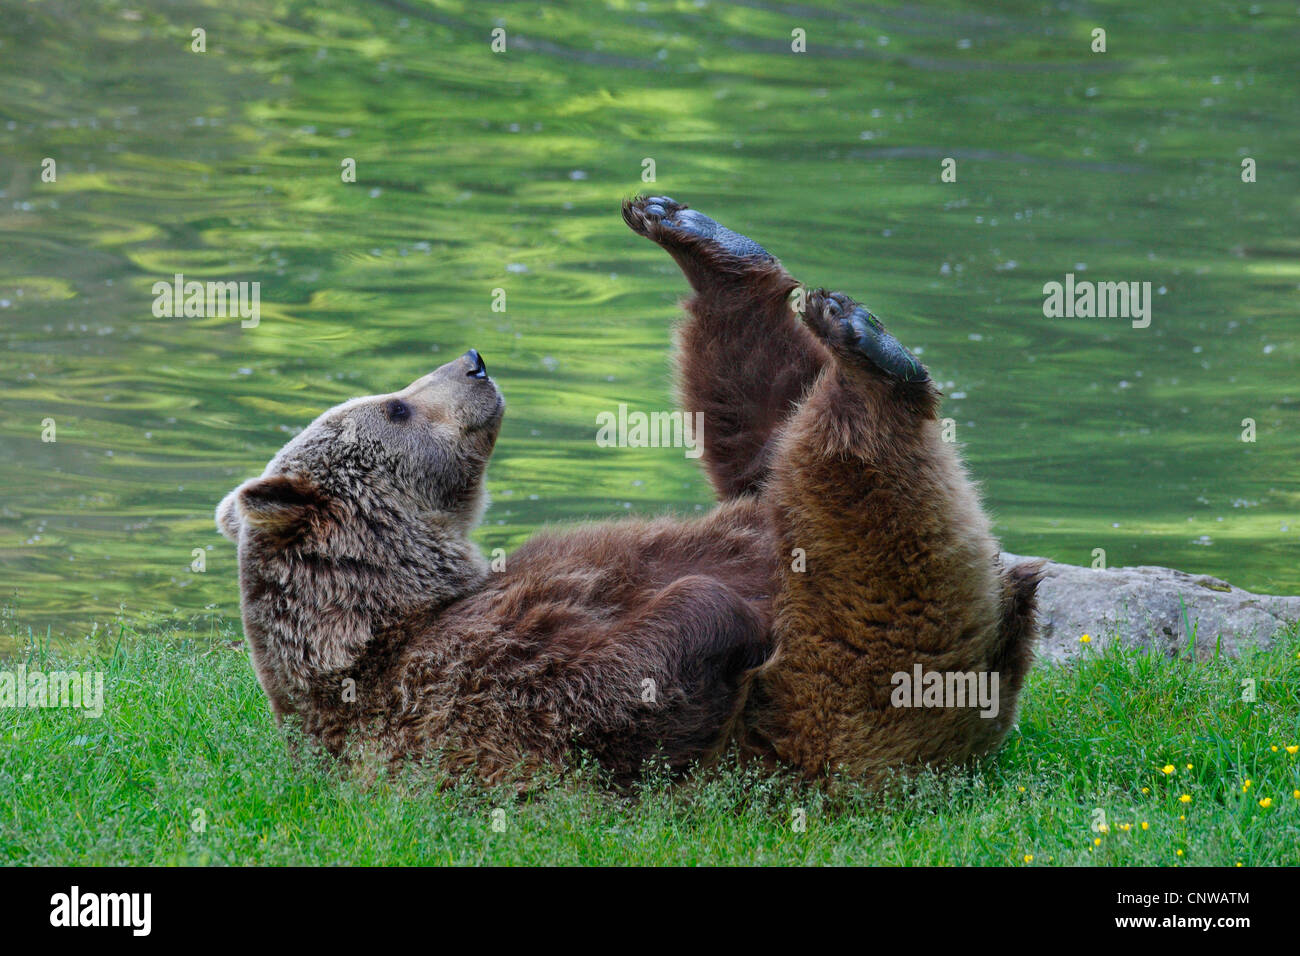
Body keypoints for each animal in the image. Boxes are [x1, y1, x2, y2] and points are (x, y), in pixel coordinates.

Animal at [216, 196, 1041, 788]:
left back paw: (710, 245)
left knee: (765, 428)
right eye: (395, 407)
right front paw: (722, 605)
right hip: (843, 685)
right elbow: (618, 688)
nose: (475, 360)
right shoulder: (460, 685)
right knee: (850, 493)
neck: (400, 606)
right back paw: (871, 356)